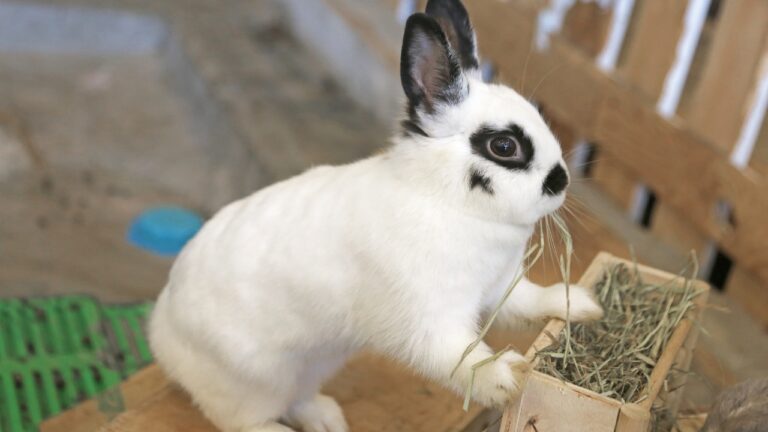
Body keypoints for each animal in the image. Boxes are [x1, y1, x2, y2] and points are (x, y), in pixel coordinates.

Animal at [148, 1, 604, 431]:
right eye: (504, 146)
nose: (561, 181)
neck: (446, 200)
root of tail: (162, 333)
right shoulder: (428, 320)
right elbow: (458, 357)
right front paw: (508, 378)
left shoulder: (499, 287)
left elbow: (530, 300)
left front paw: (583, 305)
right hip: (252, 383)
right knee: (242, 421)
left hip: (311, 367)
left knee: (296, 400)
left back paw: (327, 419)